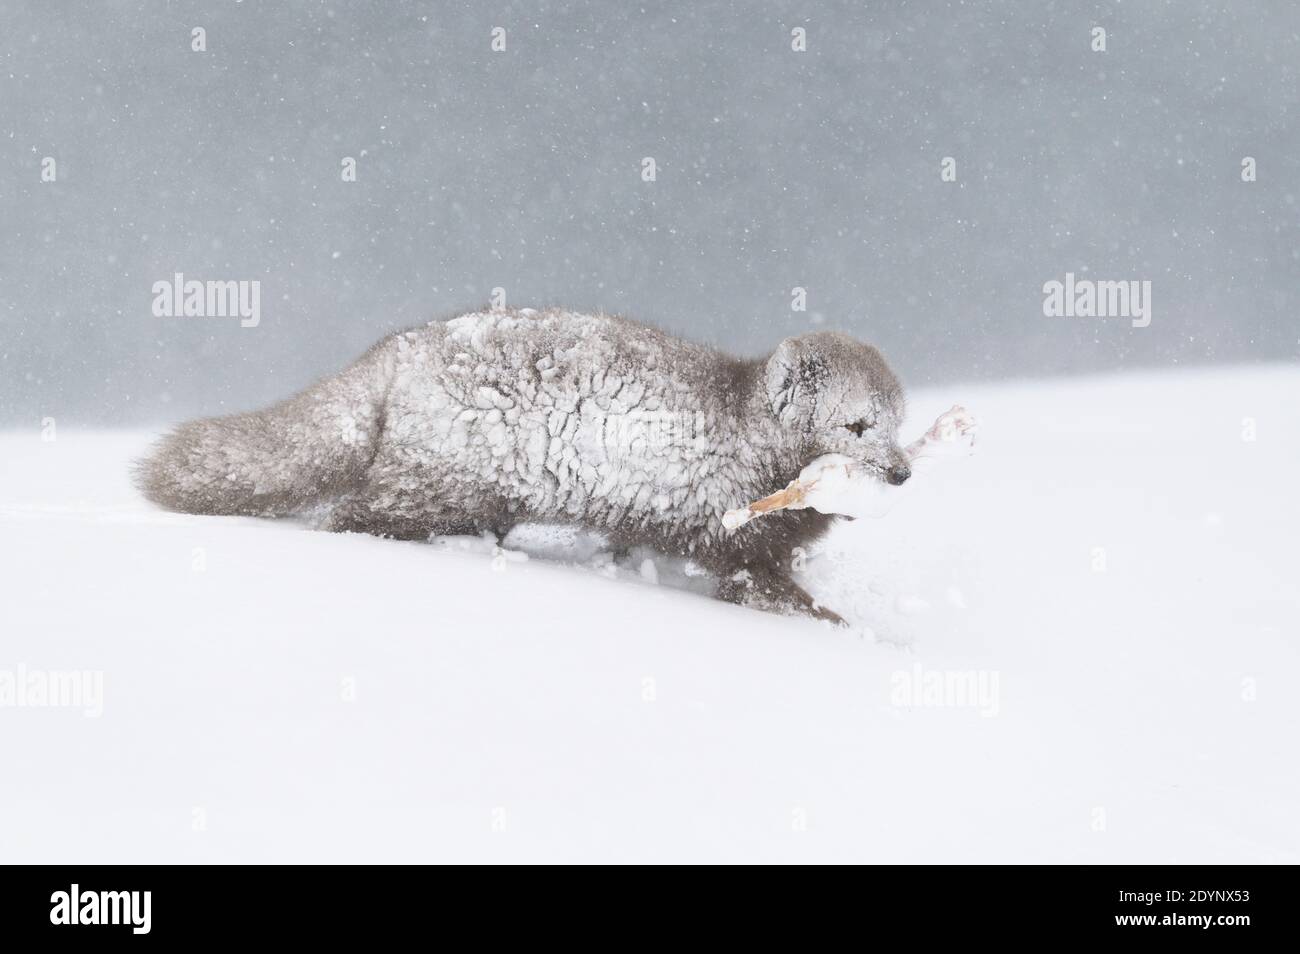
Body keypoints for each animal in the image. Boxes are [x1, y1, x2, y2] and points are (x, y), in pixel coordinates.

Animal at [135, 308, 910, 622]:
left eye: (900, 423)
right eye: (856, 425)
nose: (903, 474)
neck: (748, 436)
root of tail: (395, 352)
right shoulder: (741, 549)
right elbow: (778, 597)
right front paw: (844, 631)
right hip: (433, 488)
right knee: (347, 520)